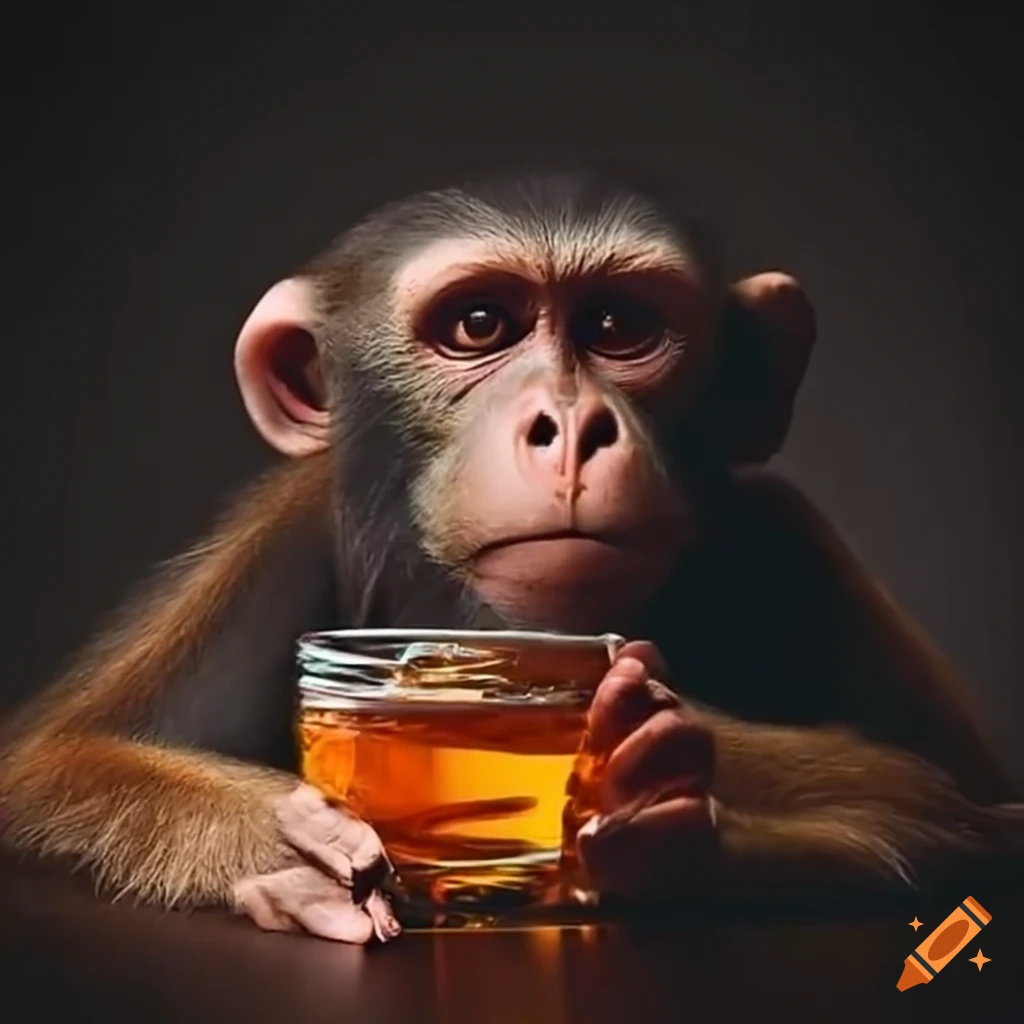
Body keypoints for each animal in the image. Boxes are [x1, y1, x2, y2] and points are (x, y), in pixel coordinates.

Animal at [1, 171, 1020, 944]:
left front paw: (652, 792)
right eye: (480, 324)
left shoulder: (791, 538)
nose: (567, 422)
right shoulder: (283, 538)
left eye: (617, 328)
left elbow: (952, 804)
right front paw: (303, 854)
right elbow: (62, 763)